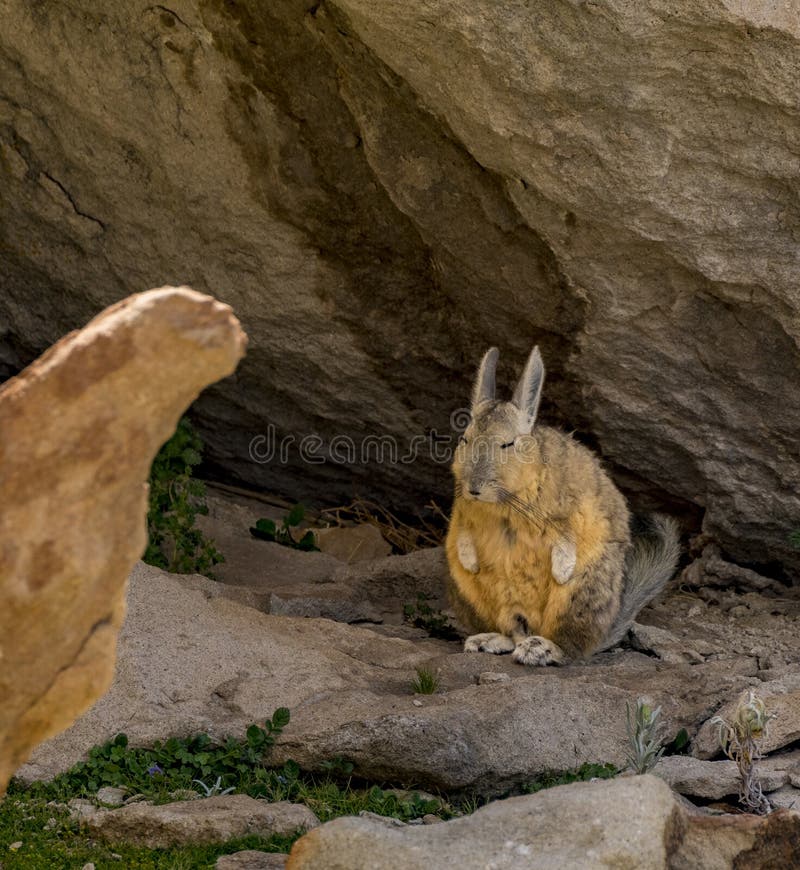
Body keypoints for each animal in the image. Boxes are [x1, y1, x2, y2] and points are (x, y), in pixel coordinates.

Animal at [445, 345, 680, 666]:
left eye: (507, 444)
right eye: (465, 439)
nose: (474, 488)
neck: (504, 500)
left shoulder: (569, 513)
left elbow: (566, 540)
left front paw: (561, 571)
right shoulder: (461, 516)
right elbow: (464, 537)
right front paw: (471, 562)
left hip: (576, 598)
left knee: (570, 649)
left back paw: (539, 649)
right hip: (470, 594)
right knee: (511, 633)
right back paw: (486, 641)